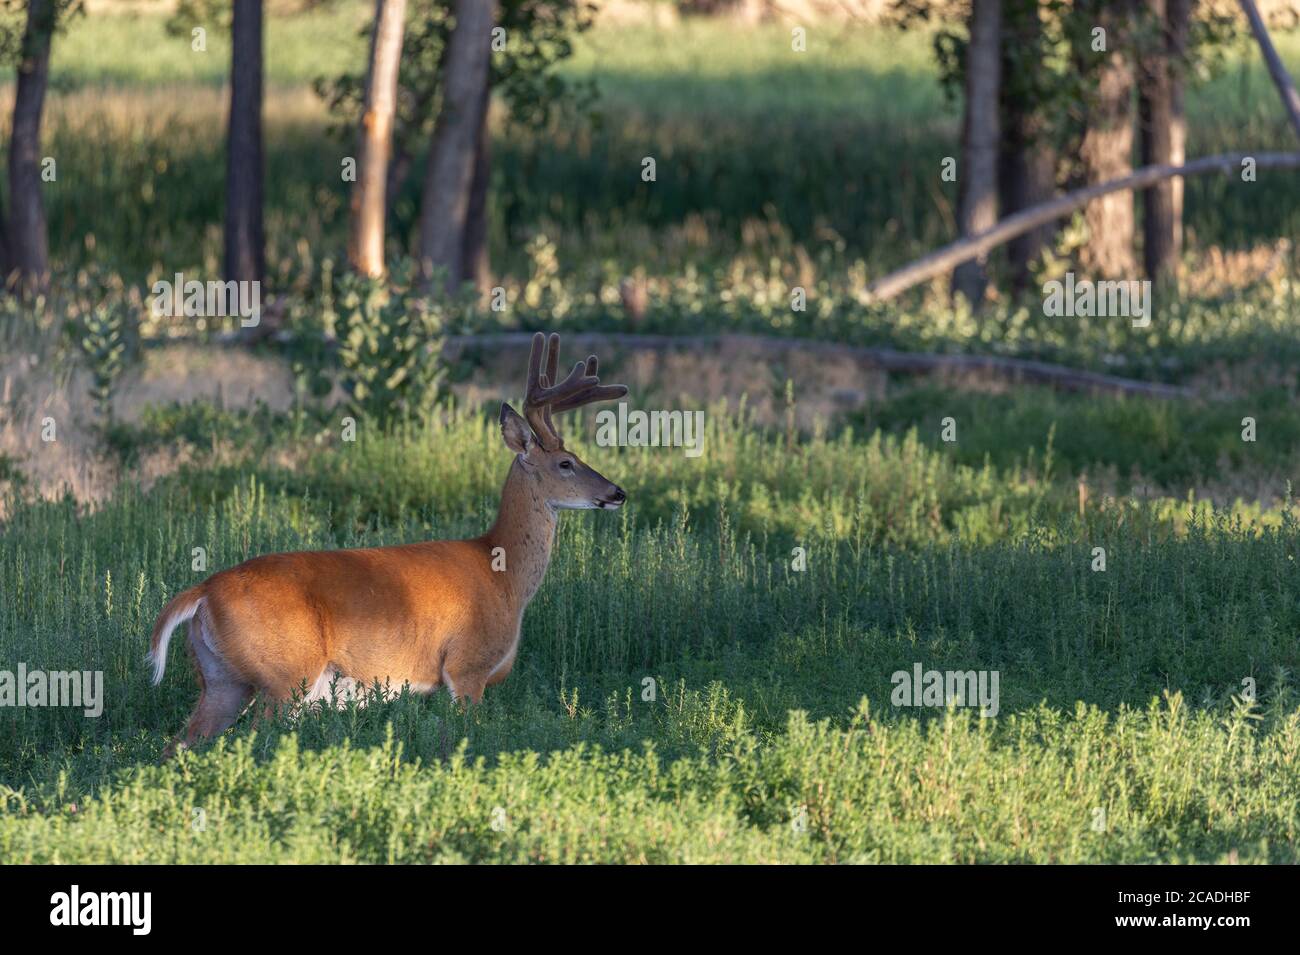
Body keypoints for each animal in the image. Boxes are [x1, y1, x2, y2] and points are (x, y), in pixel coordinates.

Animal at [148, 332, 627, 758]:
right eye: (566, 463)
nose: (617, 492)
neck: (504, 574)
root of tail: (203, 592)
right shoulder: (467, 665)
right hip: (285, 674)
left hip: (222, 679)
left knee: (179, 744)